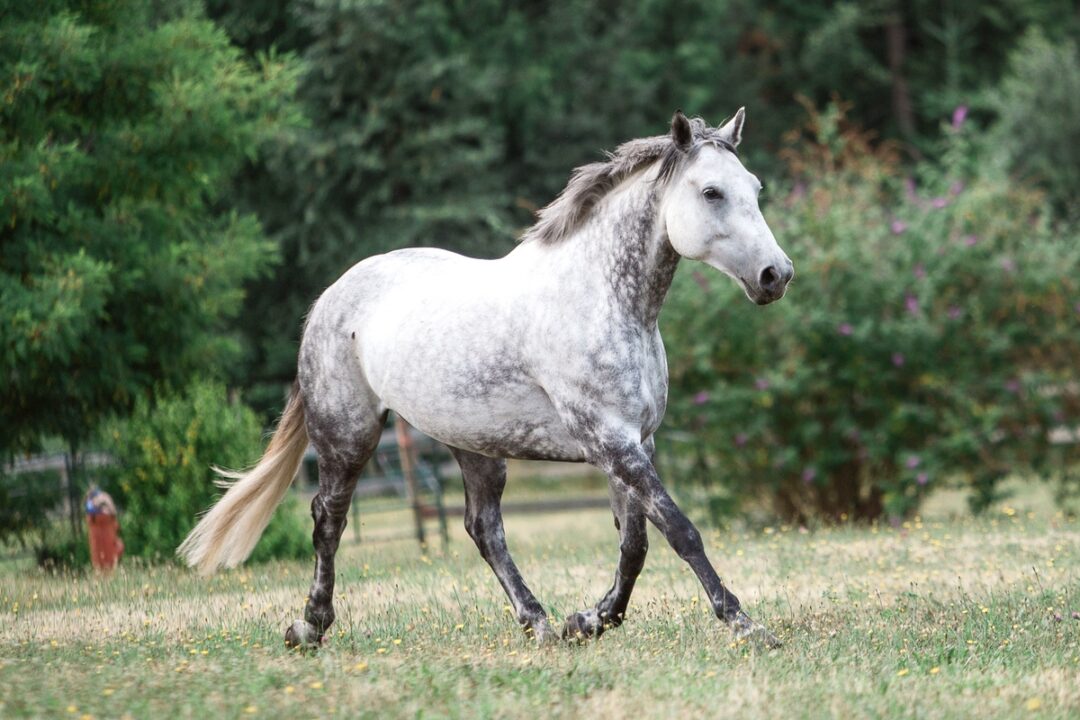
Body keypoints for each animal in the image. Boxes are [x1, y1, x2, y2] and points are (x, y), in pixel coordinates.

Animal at [178, 108, 794, 649]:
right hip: (347, 436)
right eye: (711, 192)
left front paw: (588, 621)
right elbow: (680, 531)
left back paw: (539, 624)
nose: (776, 275)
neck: (602, 299)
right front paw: (745, 626)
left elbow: (635, 544)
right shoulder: (611, 443)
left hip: (474, 445)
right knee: (328, 520)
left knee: (483, 528)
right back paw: (309, 628)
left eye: (754, 186)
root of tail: (330, 298)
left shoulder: (635, 443)